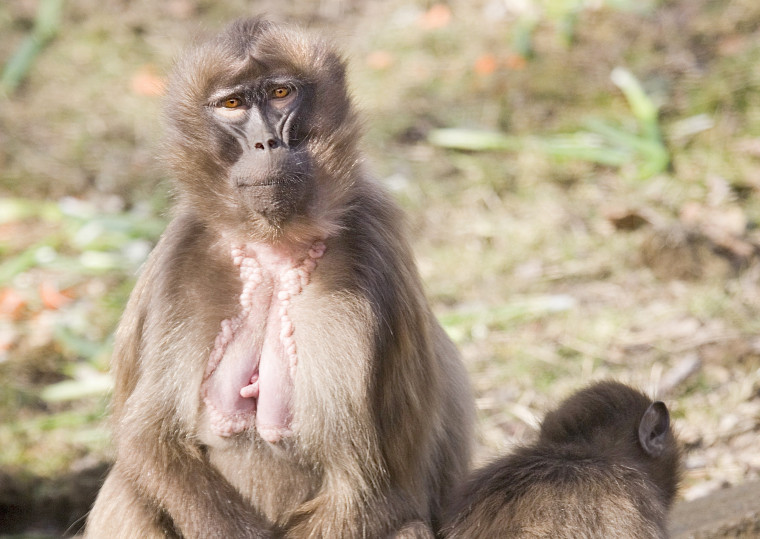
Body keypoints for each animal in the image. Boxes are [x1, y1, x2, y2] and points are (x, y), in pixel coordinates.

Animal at [84, 18, 474, 539]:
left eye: (281, 93)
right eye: (233, 104)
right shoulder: (183, 257)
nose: (266, 143)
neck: (275, 248)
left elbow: (374, 490)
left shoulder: (372, 251)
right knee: (129, 490)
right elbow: (150, 440)